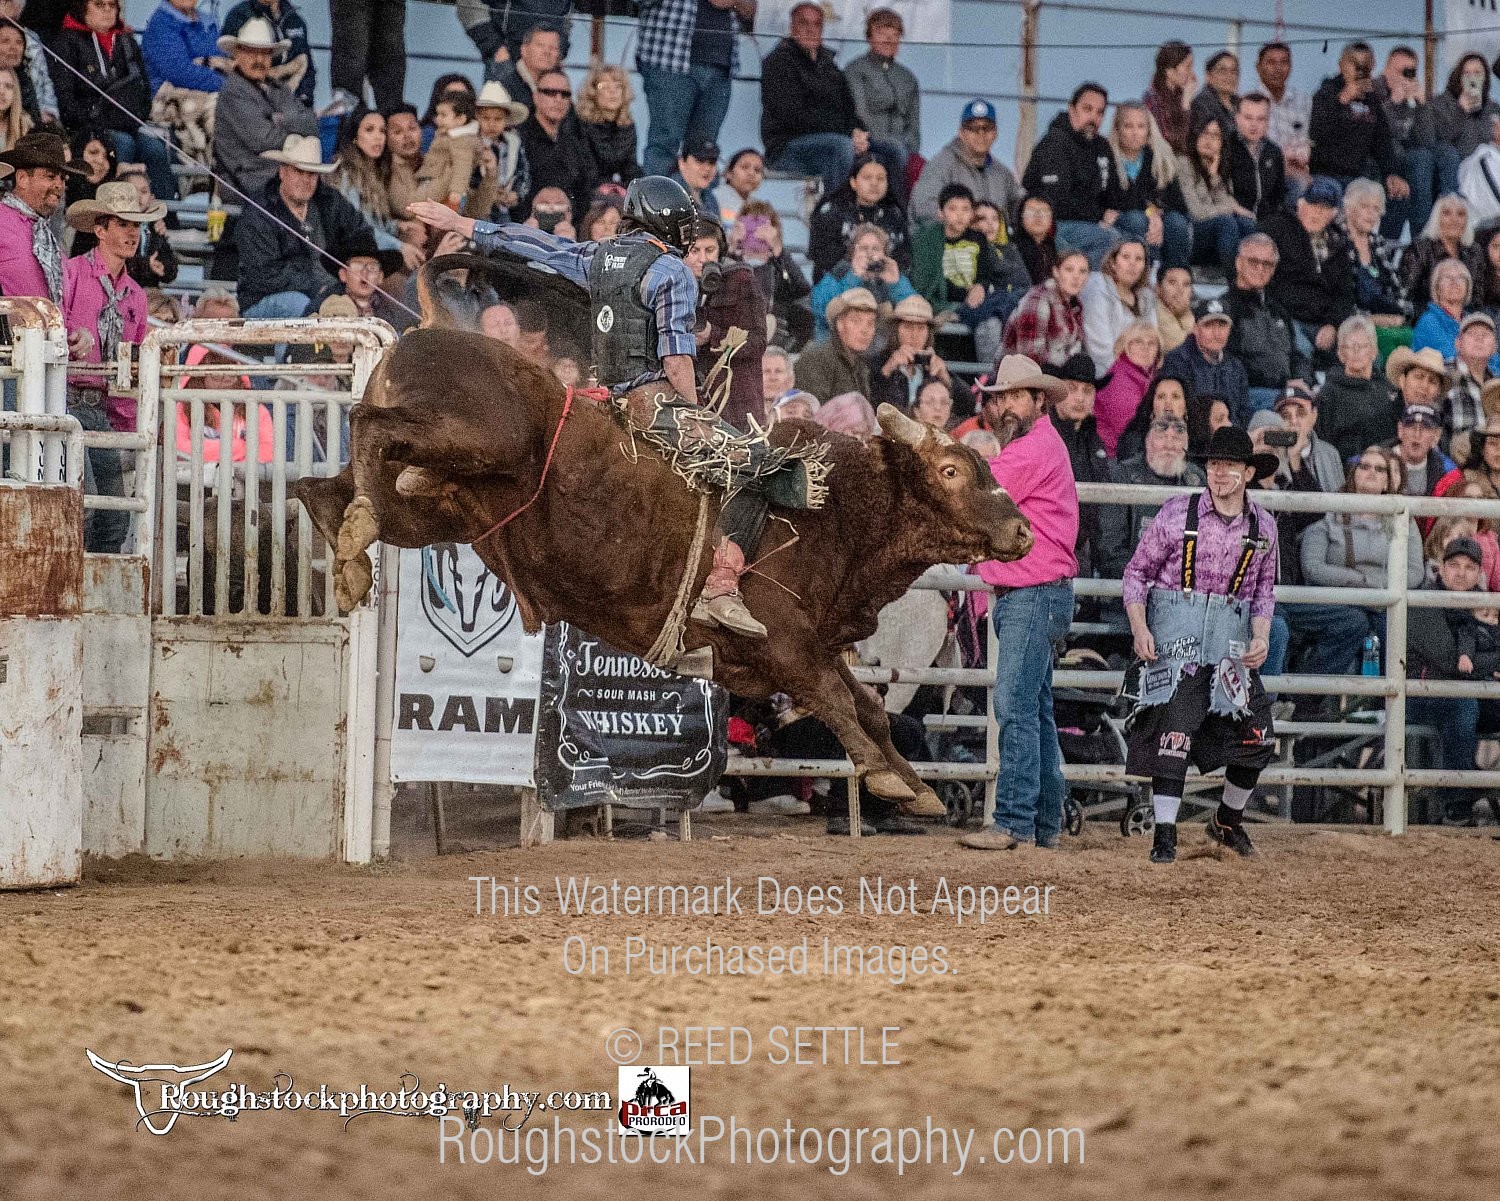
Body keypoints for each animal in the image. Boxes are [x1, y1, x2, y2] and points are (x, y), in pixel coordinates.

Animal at [293, 261, 1032, 810]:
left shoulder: (809, 643)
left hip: (447, 504)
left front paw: (915, 786)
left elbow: (869, 706)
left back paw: (349, 538)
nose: (1023, 529)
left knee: (330, 486)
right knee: (367, 423)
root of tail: (432, 323)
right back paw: (354, 536)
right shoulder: (786, 643)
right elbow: (834, 696)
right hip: (475, 437)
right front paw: (886, 778)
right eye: (951, 469)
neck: (838, 507)